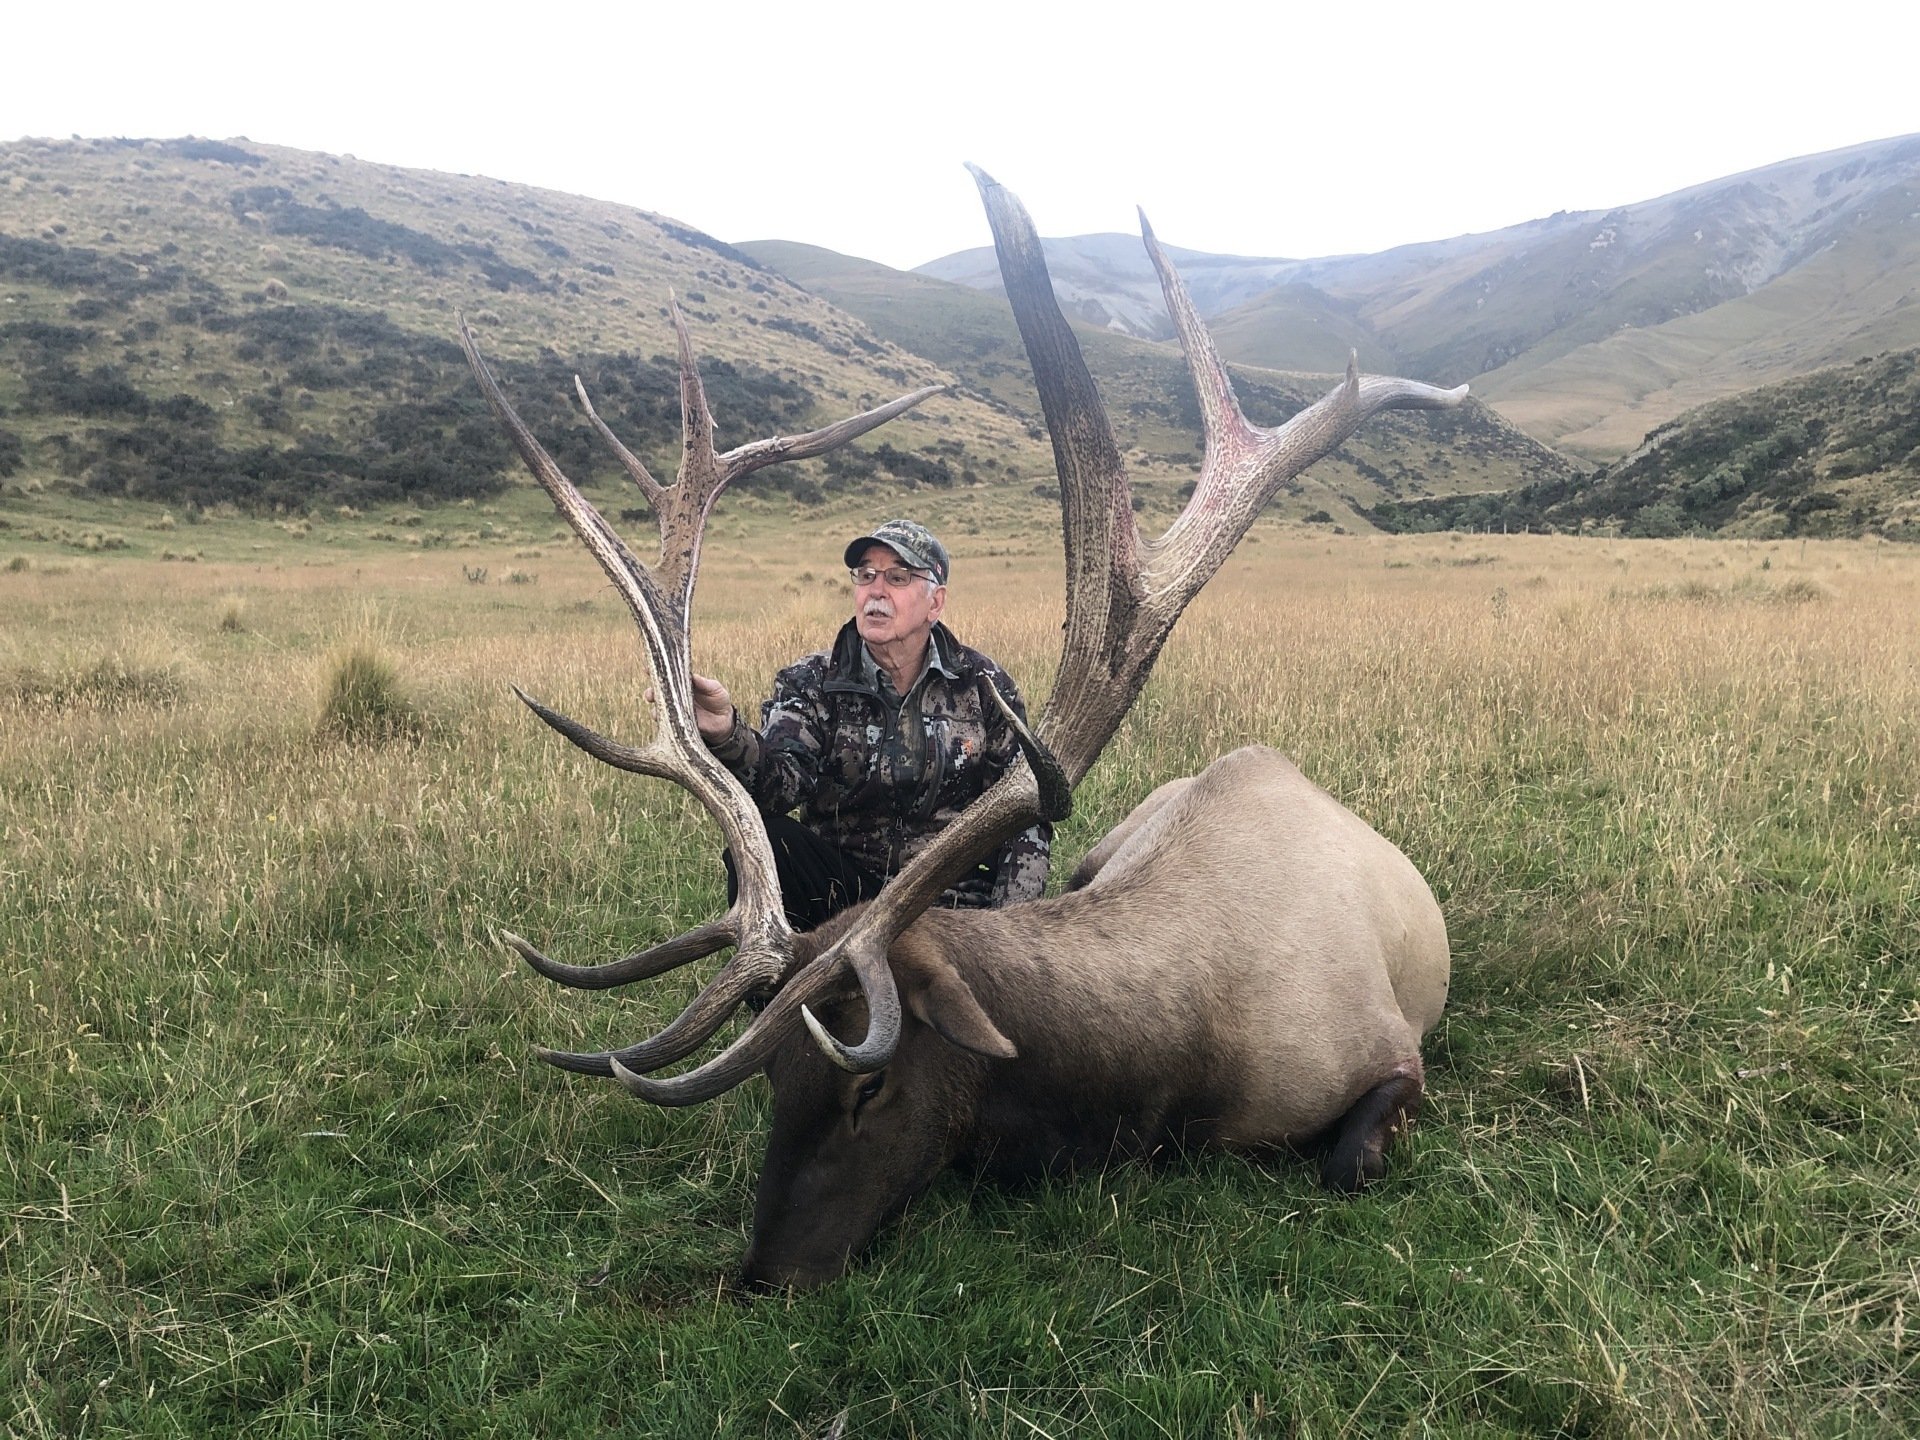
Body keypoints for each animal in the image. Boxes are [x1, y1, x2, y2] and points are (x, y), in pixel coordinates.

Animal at [459, 166, 1465, 1290]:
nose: (762, 1274)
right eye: (775, 1082)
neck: (1174, 1076)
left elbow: (1347, 1161)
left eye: (867, 1084)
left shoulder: (1390, 1051)